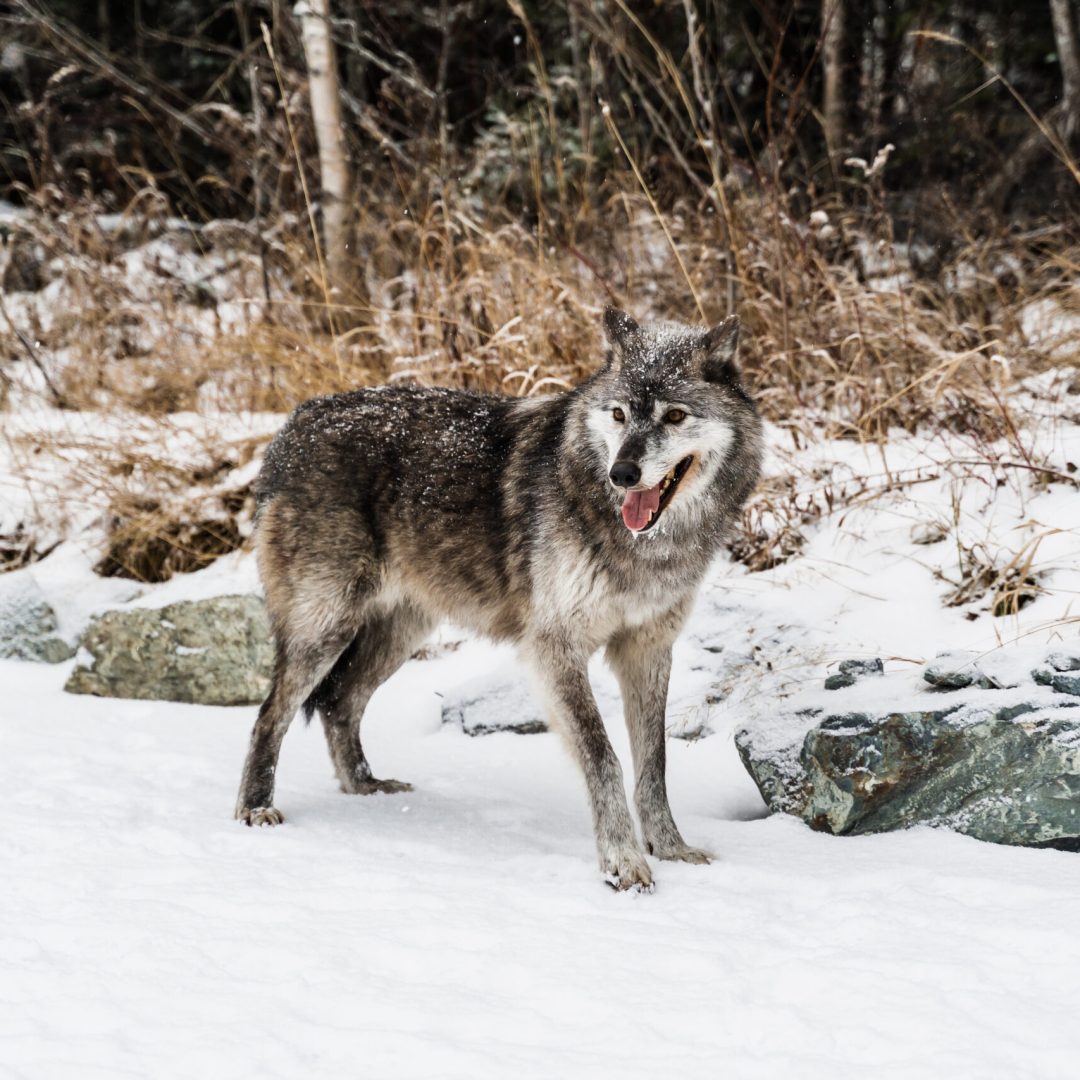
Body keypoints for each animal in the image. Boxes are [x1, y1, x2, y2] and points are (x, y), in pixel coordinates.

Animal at [235, 307, 762, 889]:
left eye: (674, 416)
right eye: (620, 413)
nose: (622, 473)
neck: (644, 546)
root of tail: (292, 426)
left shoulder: (647, 650)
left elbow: (655, 763)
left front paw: (671, 848)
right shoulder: (554, 649)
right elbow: (604, 757)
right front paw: (624, 863)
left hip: (400, 634)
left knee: (339, 703)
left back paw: (366, 788)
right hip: (325, 630)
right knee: (270, 713)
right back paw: (256, 808)